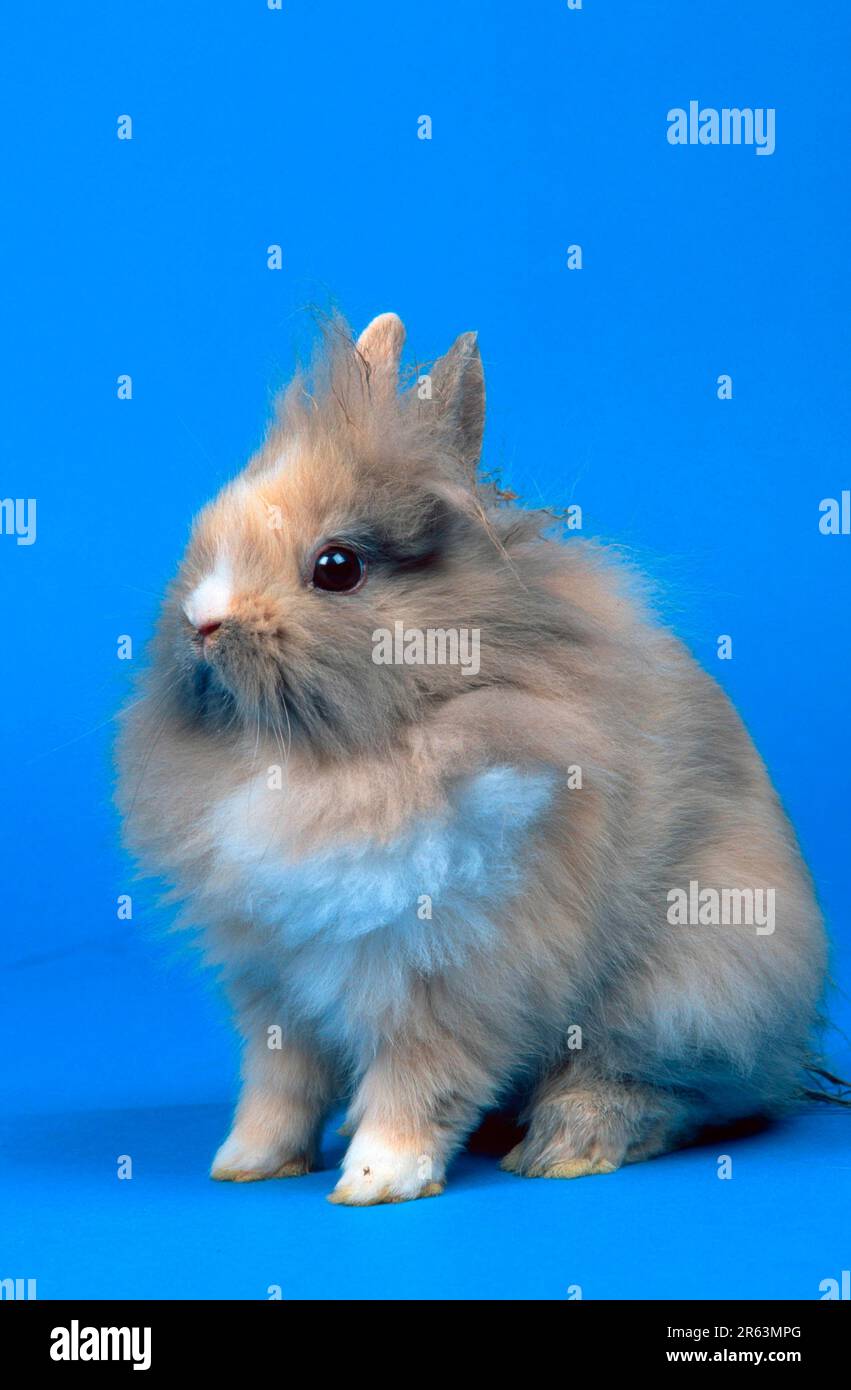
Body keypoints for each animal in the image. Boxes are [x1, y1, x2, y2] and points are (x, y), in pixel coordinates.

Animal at [116, 312, 827, 1205]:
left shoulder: (451, 970)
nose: (202, 622)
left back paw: (564, 1145)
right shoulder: (273, 986)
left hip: (692, 988)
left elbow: (419, 1082)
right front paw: (245, 1162)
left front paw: (376, 1178)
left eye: (337, 568)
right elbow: (279, 1086)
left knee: (670, 1093)